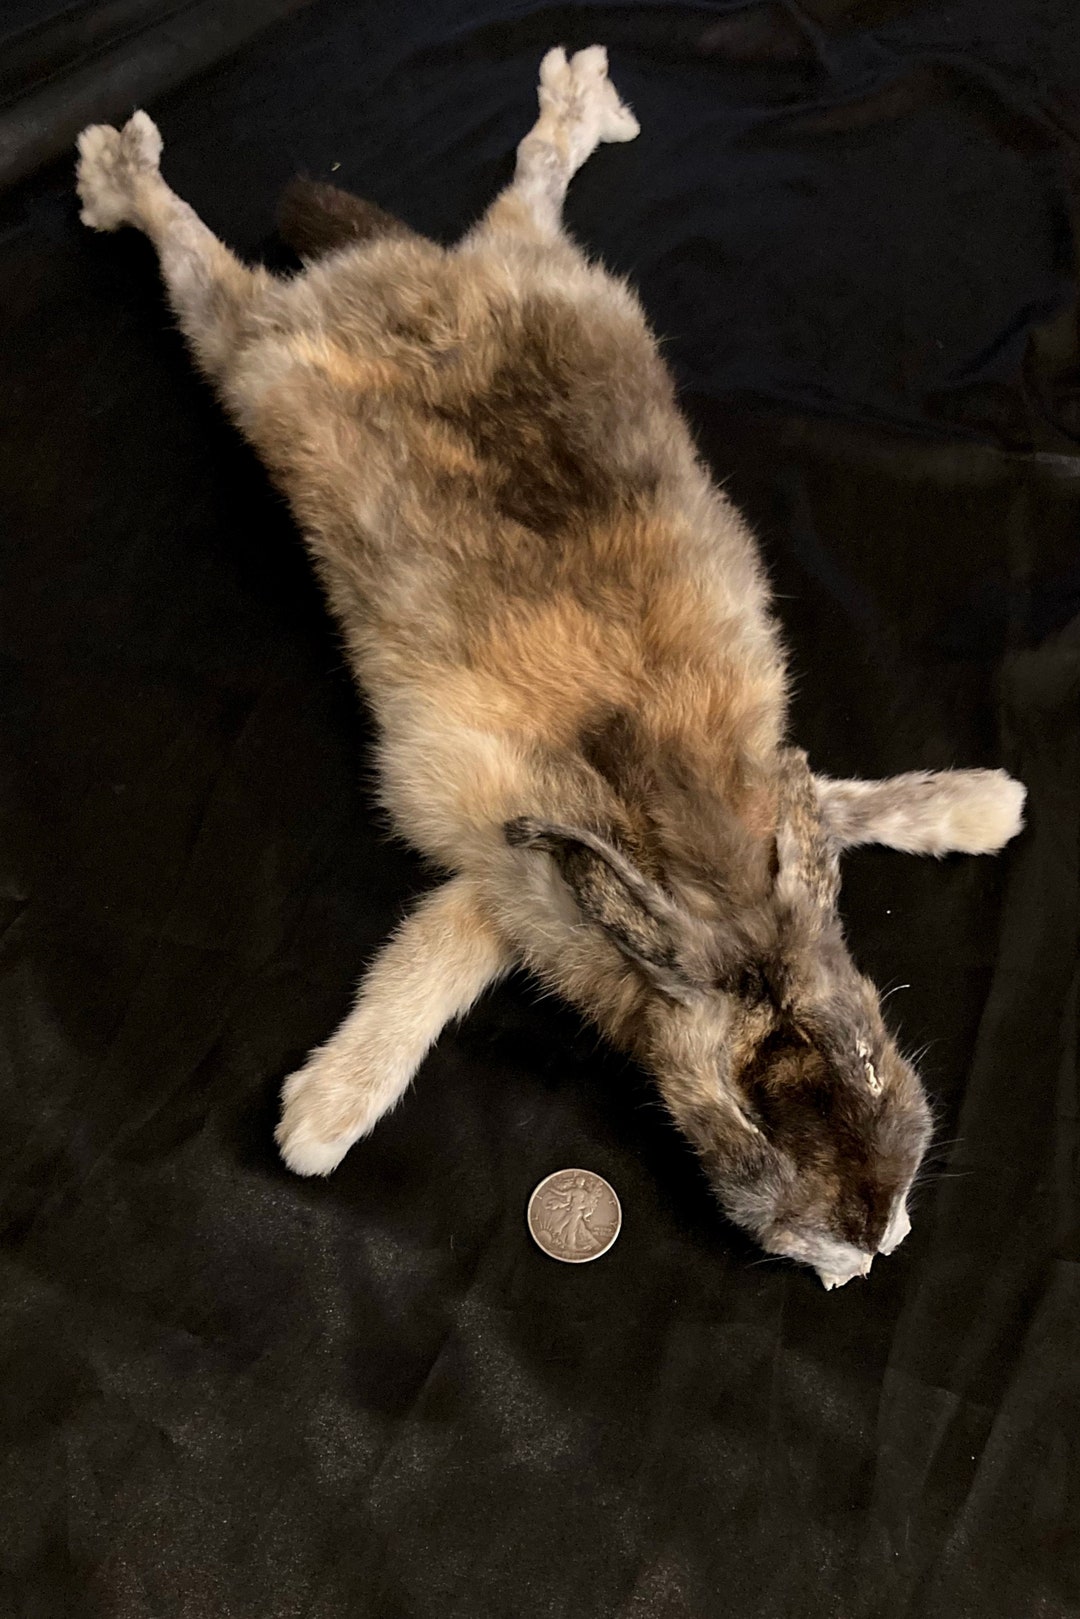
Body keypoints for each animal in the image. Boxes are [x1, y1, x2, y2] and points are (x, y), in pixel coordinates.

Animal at [75, 47, 1026, 1288]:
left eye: (868, 1057)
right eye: (750, 1106)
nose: (871, 1236)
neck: (712, 886)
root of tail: (414, 278)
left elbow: (848, 802)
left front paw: (985, 807)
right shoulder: (507, 874)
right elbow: (430, 968)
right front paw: (318, 1123)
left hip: (547, 277)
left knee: (522, 199)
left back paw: (576, 108)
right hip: (254, 365)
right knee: (207, 271)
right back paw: (118, 175)